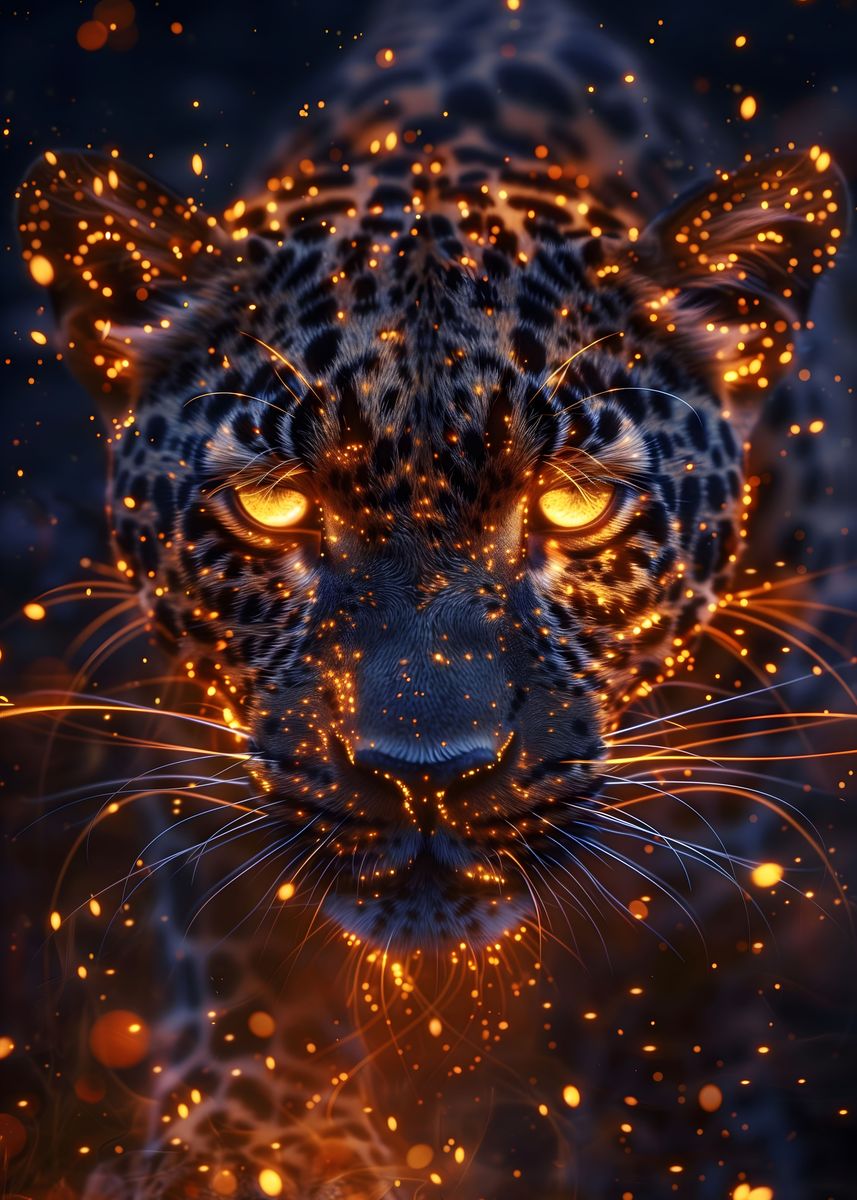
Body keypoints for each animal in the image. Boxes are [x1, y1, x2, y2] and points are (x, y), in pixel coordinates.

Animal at [7, 0, 850, 1196]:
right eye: (273, 504)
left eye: (573, 506)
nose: (424, 778)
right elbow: (240, 920)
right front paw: (257, 1136)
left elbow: (700, 951)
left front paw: (693, 1128)